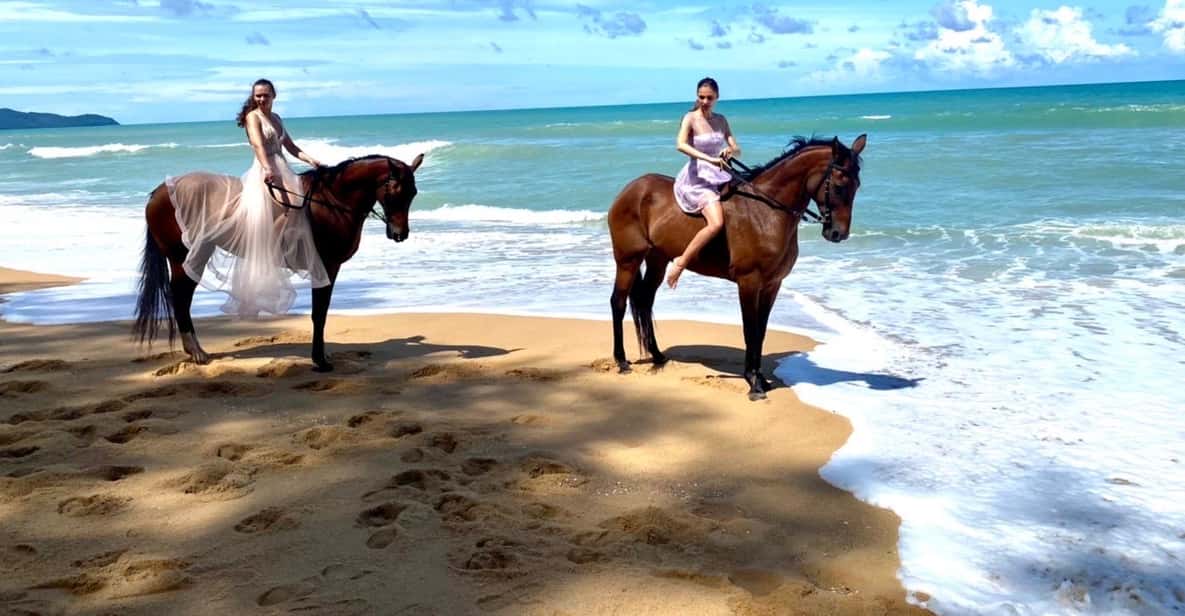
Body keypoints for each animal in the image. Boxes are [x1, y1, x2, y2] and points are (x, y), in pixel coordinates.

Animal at [133, 153, 424, 372]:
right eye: (396, 191)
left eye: (413, 193)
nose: (400, 234)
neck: (332, 201)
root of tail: (158, 192)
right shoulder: (326, 266)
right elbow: (320, 313)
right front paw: (320, 361)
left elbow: (321, 312)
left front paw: (320, 357)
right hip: (186, 257)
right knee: (181, 298)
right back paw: (197, 352)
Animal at [607, 135, 866, 400]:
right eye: (839, 185)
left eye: (857, 185)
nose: (838, 234)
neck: (766, 212)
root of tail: (631, 189)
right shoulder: (749, 282)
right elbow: (749, 329)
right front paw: (753, 383)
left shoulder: (772, 285)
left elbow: (761, 331)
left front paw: (760, 378)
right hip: (627, 260)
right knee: (618, 302)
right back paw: (622, 361)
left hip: (657, 260)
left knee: (645, 301)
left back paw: (658, 356)